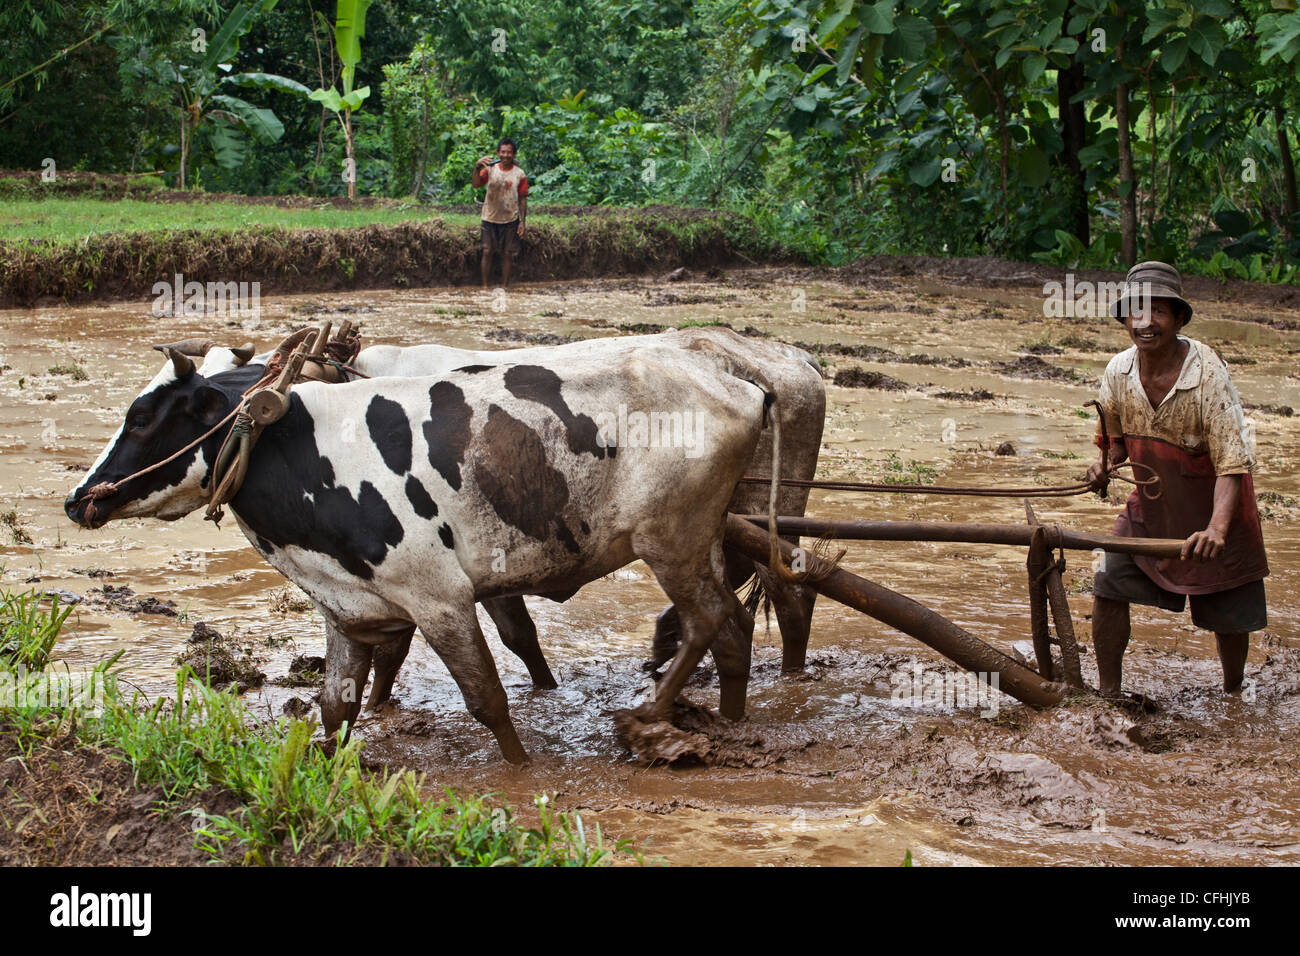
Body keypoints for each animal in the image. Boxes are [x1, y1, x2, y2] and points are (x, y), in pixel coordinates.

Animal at [66, 333, 790, 762]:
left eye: (142, 418)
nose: (78, 500)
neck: (291, 445)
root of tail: (745, 386)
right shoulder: (348, 608)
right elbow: (336, 704)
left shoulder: (439, 599)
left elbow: (488, 700)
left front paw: (520, 771)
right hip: (697, 542)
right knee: (732, 630)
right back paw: (730, 721)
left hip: (671, 540)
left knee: (709, 619)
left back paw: (647, 718)